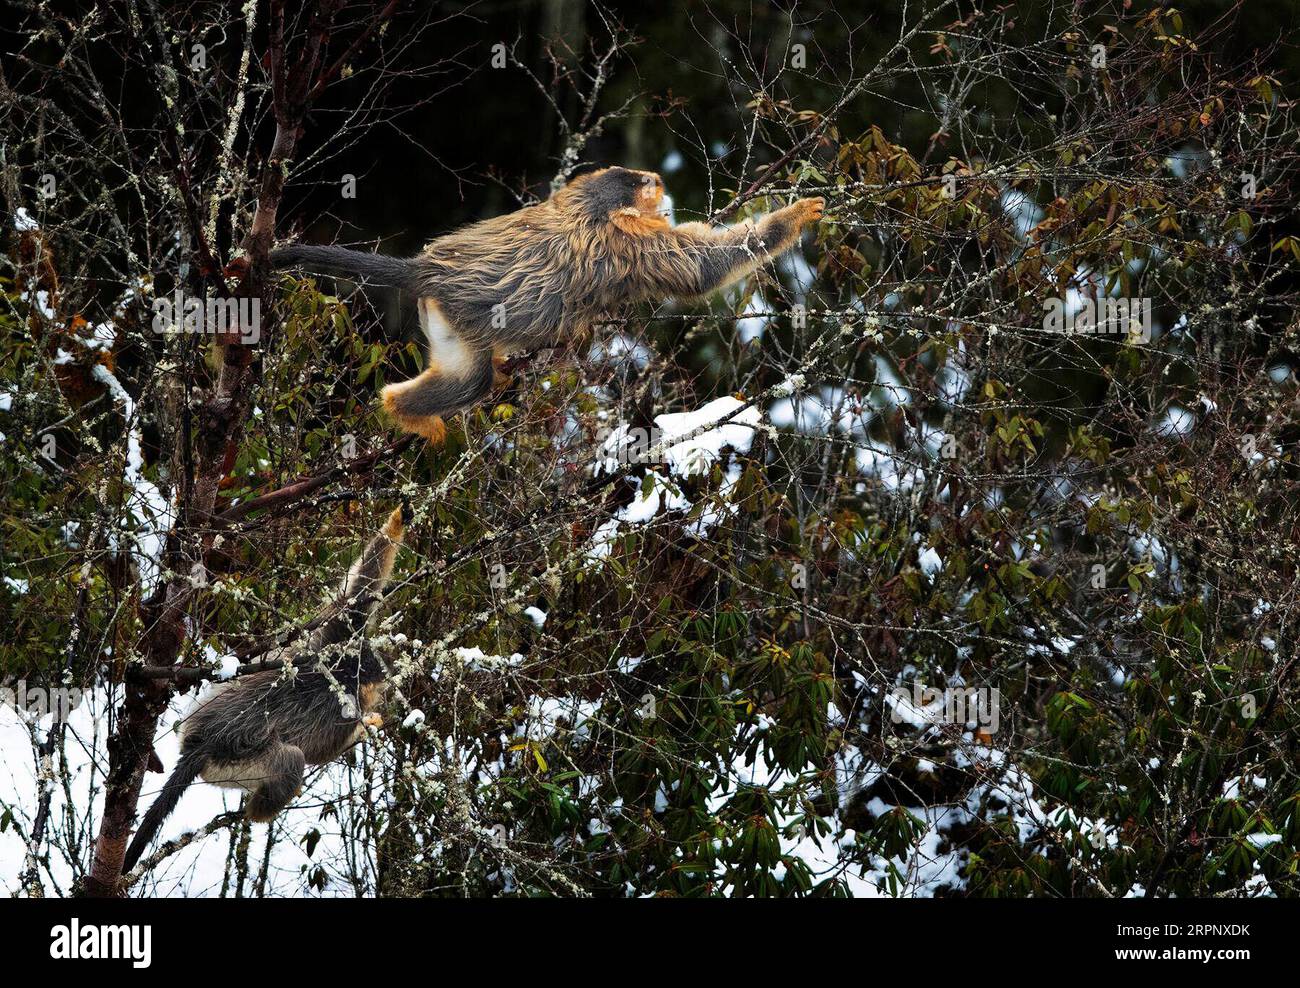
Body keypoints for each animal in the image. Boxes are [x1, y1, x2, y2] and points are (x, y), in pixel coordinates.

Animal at [121, 505, 408, 873]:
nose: (385, 687)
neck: (341, 673)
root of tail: (198, 746)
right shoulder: (342, 701)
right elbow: (323, 751)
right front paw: (366, 726)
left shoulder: (337, 637)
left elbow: (360, 588)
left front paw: (399, 519)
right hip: (231, 765)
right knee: (292, 760)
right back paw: (257, 813)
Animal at [272, 166, 824, 444]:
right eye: (640, 185)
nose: (655, 179)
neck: (588, 213)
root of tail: (427, 269)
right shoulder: (631, 247)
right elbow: (704, 268)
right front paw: (793, 217)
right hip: (457, 314)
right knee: (470, 383)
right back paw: (401, 409)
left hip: (443, 321)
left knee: (467, 373)